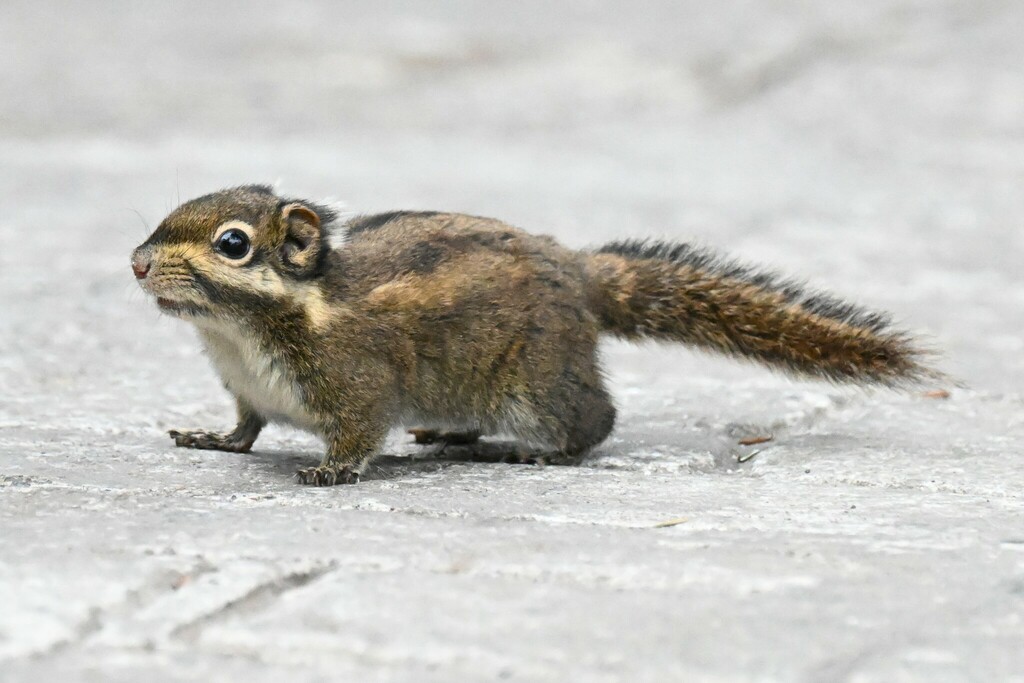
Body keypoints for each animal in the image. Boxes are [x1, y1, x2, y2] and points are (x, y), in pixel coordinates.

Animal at [131, 185, 941, 486]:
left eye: (232, 244)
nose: (136, 262)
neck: (240, 335)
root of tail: (580, 273)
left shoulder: (358, 383)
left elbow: (358, 435)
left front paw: (330, 472)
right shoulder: (247, 390)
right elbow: (246, 427)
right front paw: (212, 438)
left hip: (536, 380)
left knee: (595, 419)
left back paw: (522, 447)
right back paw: (452, 433)